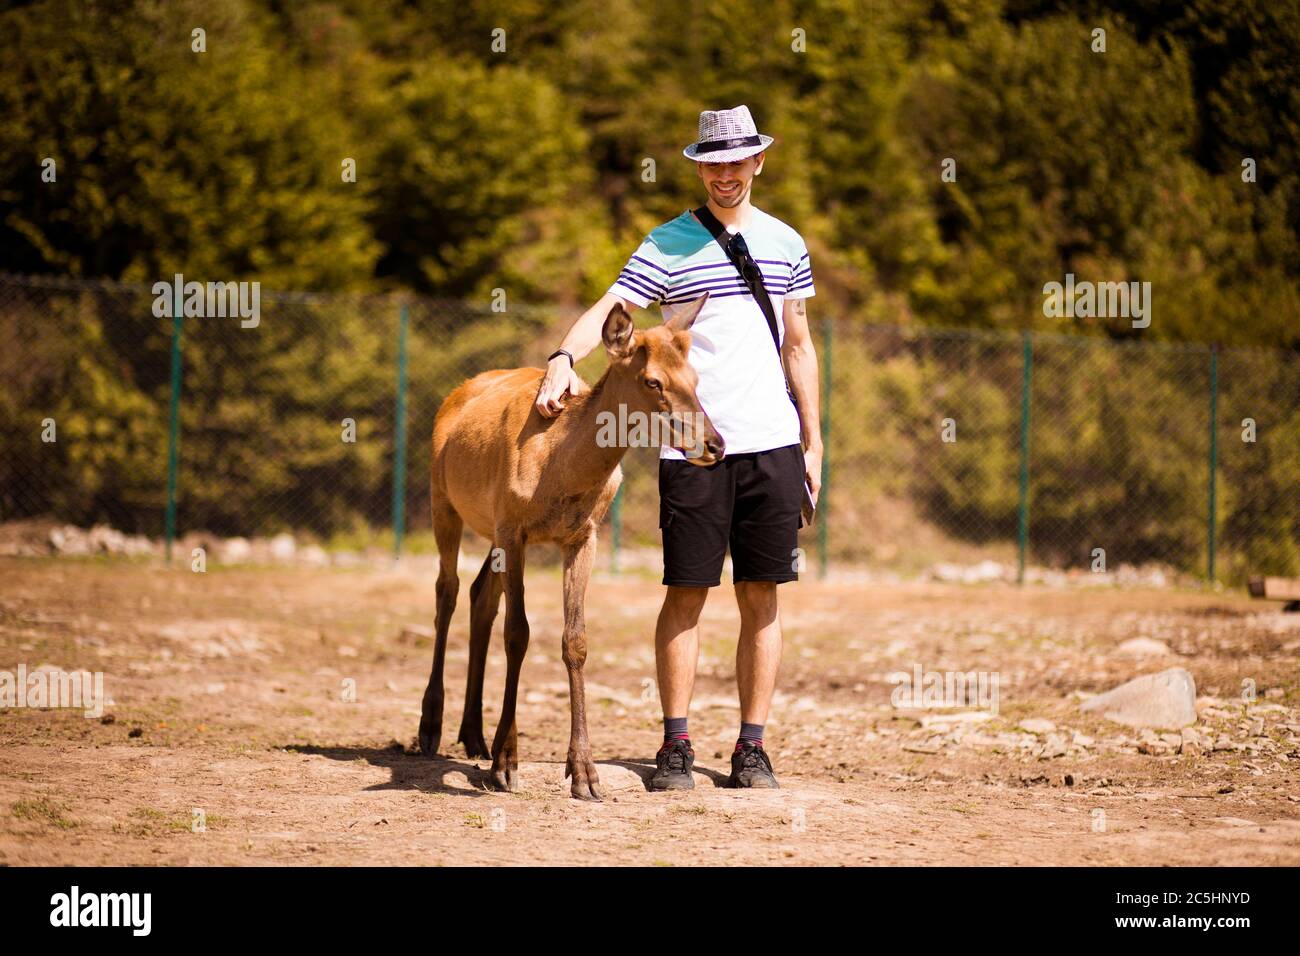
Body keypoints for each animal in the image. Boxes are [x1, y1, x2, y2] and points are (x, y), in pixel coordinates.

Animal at [417, 292, 723, 800]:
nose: (715, 444)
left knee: (481, 596)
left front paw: (584, 773)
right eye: (652, 380)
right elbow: (518, 633)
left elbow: (575, 640)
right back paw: (430, 728)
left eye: (696, 378)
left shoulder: (582, 535)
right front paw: (507, 763)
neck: (558, 471)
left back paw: (473, 735)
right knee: (447, 591)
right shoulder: (513, 528)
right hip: (443, 500)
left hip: (489, 530)